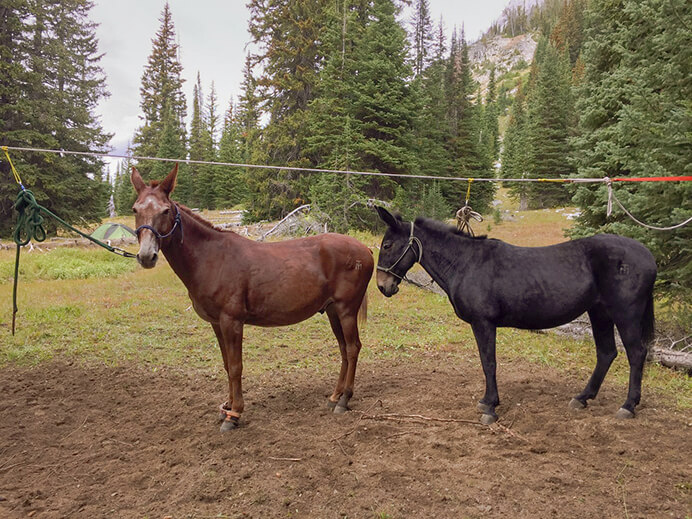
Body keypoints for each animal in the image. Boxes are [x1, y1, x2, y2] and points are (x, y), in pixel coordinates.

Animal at [130, 164, 373, 431]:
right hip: (332, 310)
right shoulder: (217, 323)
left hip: (347, 309)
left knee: (353, 347)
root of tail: (365, 249)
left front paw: (234, 414)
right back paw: (334, 397)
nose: (146, 256)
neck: (212, 258)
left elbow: (236, 366)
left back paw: (345, 399)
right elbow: (227, 364)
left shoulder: (232, 321)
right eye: (135, 209)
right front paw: (226, 407)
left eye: (165, 210)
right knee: (343, 349)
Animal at [374, 206, 656, 424]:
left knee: (636, 353)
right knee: (607, 353)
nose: (382, 286)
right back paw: (582, 398)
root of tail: (647, 255)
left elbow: (488, 362)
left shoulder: (483, 323)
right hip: (599, 313)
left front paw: (489, 407)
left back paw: (628, 406)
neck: (466, 264)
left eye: (387, 245)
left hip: (625, 314)